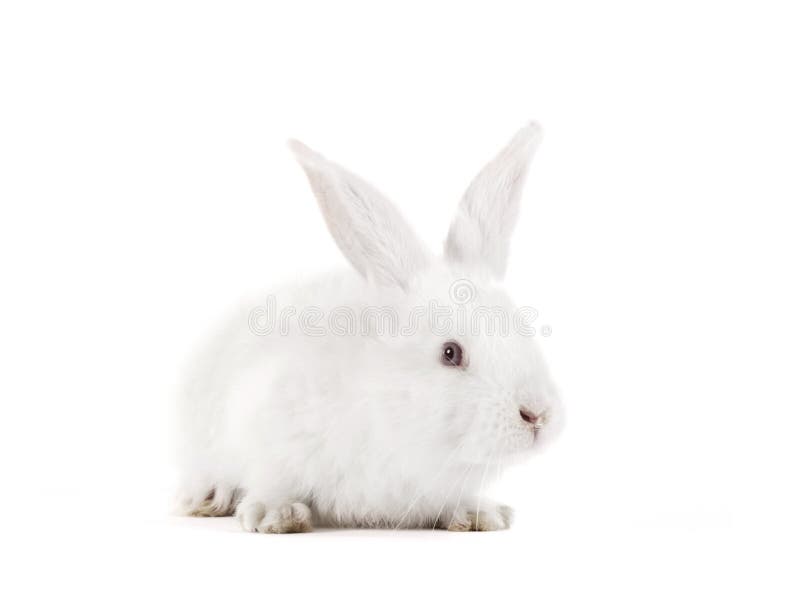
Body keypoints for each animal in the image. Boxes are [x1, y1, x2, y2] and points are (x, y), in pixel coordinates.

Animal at [175, 122, 564, 532]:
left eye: (524, 329)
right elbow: (273, 480)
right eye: (450, 353)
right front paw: (277, 515)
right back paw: (207, 498)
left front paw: (479, 514)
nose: (538, 414)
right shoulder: (265, 425)